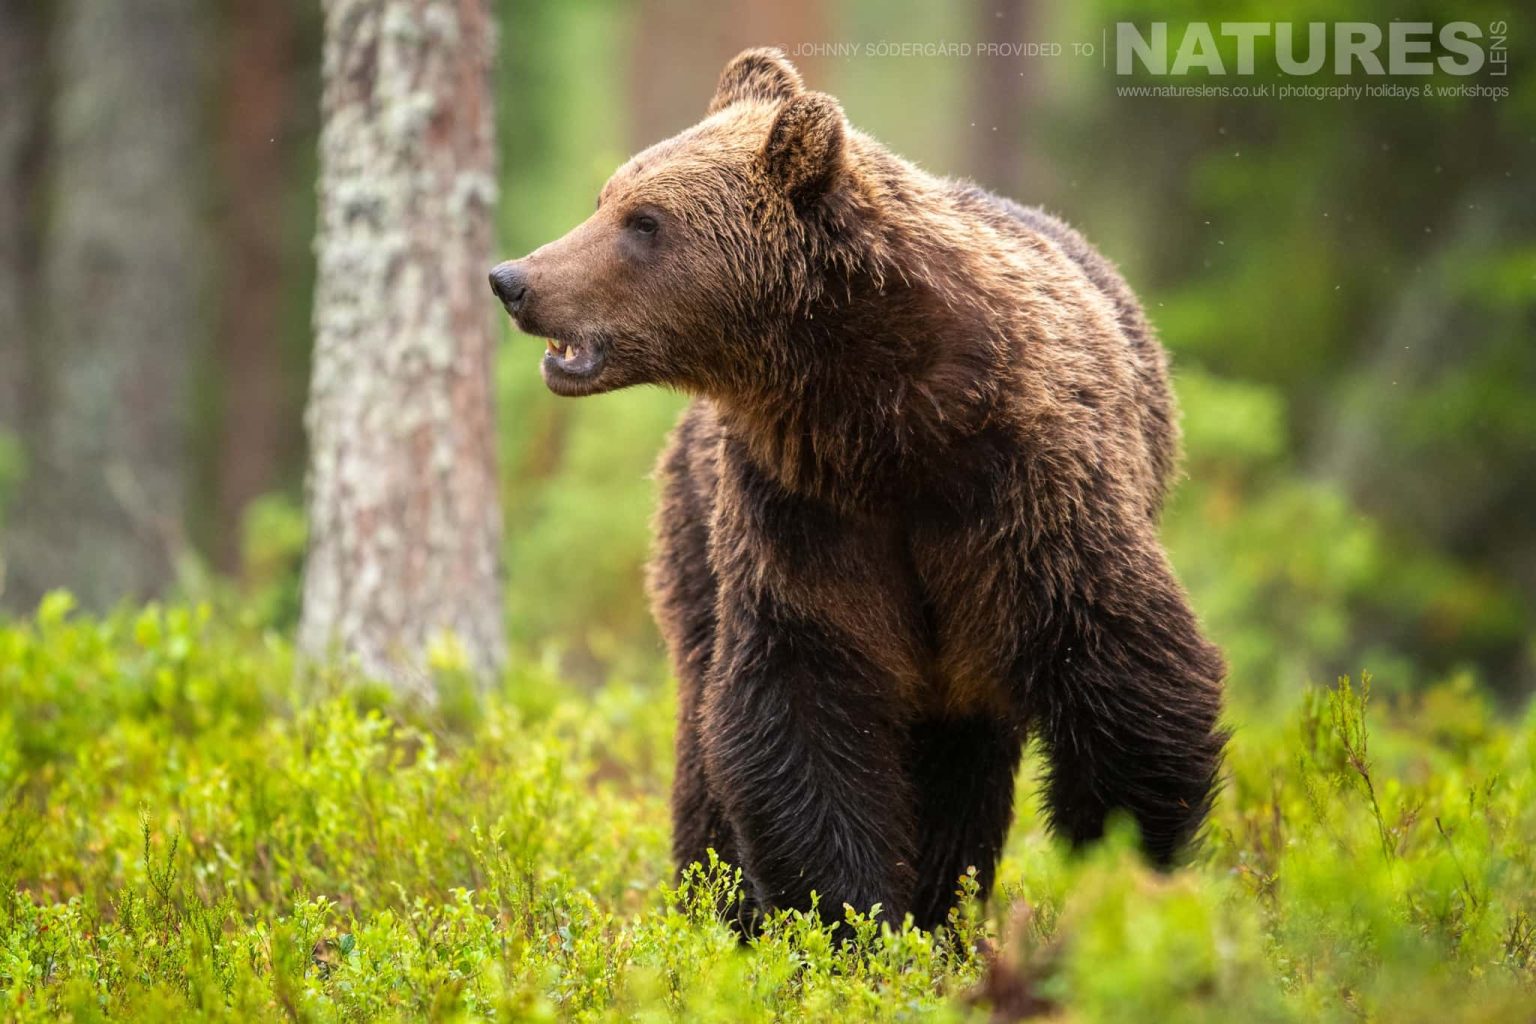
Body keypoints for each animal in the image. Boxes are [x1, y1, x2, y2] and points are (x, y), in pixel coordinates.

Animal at [489, 48, 1227, 933]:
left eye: (644, 222)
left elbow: (1127, 677)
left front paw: (1120, 872)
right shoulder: (801, 514)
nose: (514, 279)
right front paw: (848, 916)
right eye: (607, 198)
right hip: (696, 539)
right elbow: (799, 707)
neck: (885, 418)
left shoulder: (1029, 495)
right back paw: (724, 907)